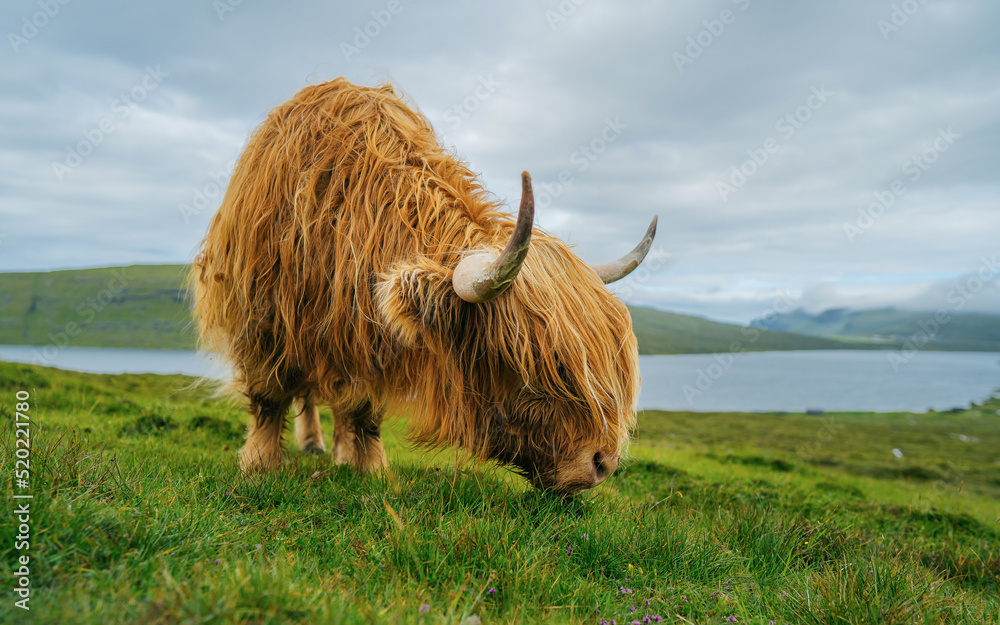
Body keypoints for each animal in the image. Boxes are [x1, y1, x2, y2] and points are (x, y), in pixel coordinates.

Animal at [190, 78, 657, 495]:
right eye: (545, 366)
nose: (602, 462)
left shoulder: (369, 337)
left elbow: (366, 409)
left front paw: (372, 470)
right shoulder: (262, 315)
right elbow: (268, 397)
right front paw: (259, 465)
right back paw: (311, 444)